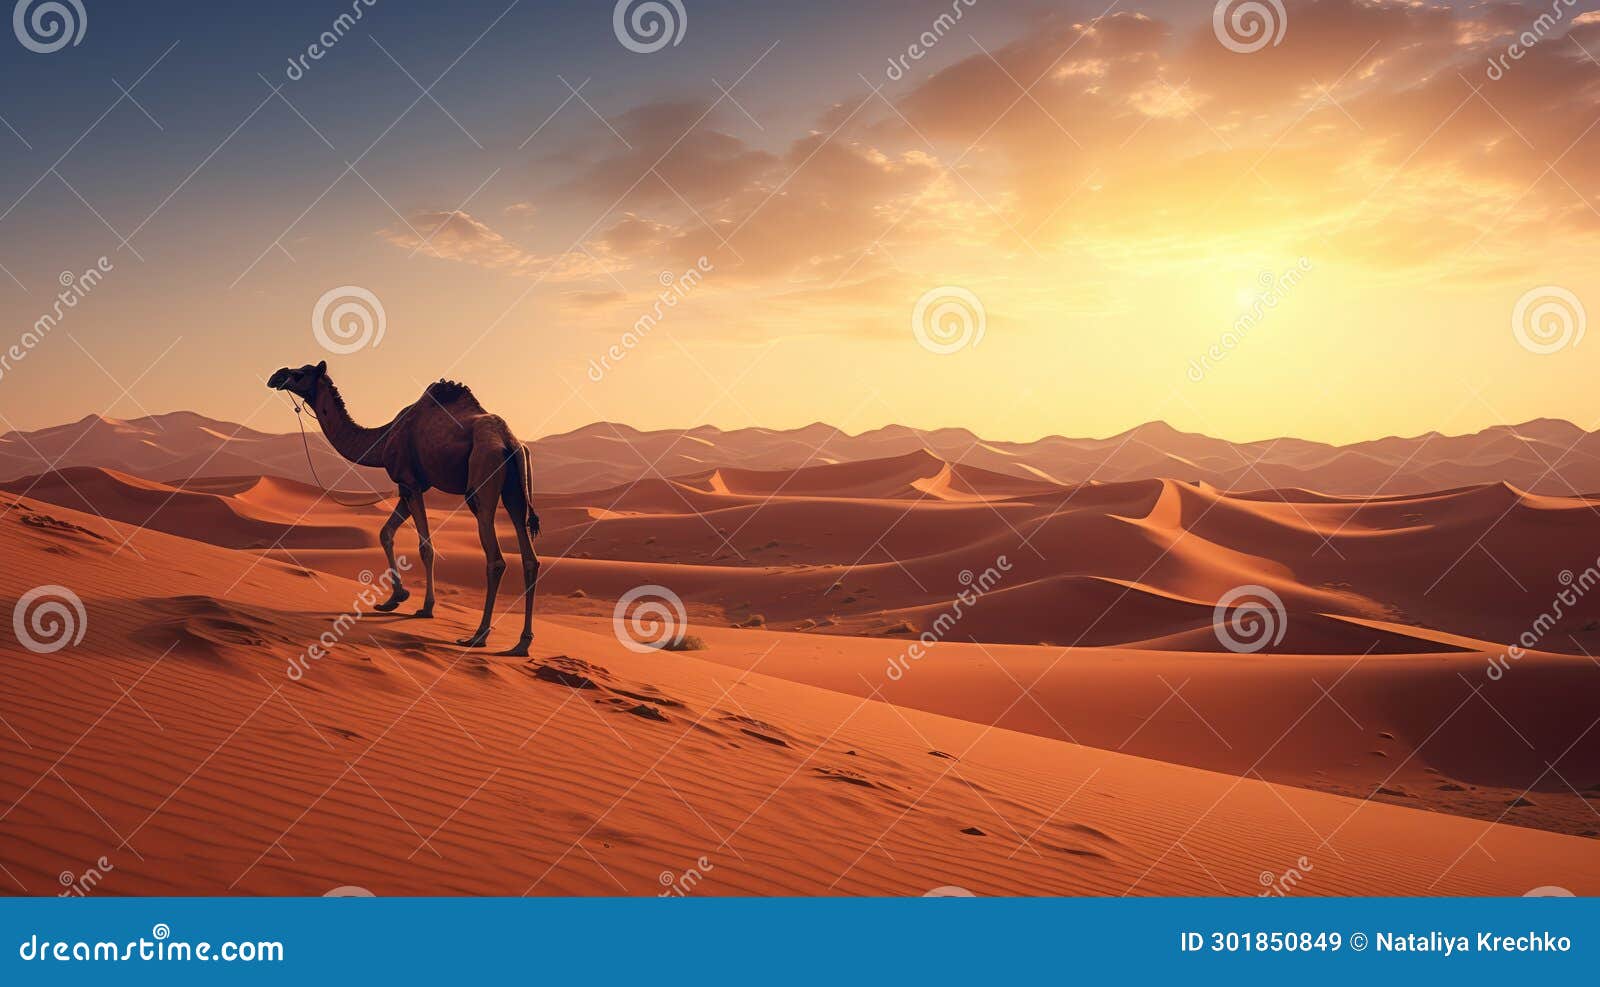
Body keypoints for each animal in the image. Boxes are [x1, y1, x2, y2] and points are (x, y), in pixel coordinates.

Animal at [267, 361, 540, 655]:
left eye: (299, 373)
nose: (275, 376)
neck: (384, 437)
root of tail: (510, 444)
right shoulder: (411, 486)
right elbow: (385, 533)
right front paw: (394, 598)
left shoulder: (409, 481)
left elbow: (425, 547)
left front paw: (425, 607)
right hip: (516, 491)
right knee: (530, 557)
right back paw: (522, 642)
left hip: (482, 482)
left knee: (496, 558)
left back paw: (478, 635)